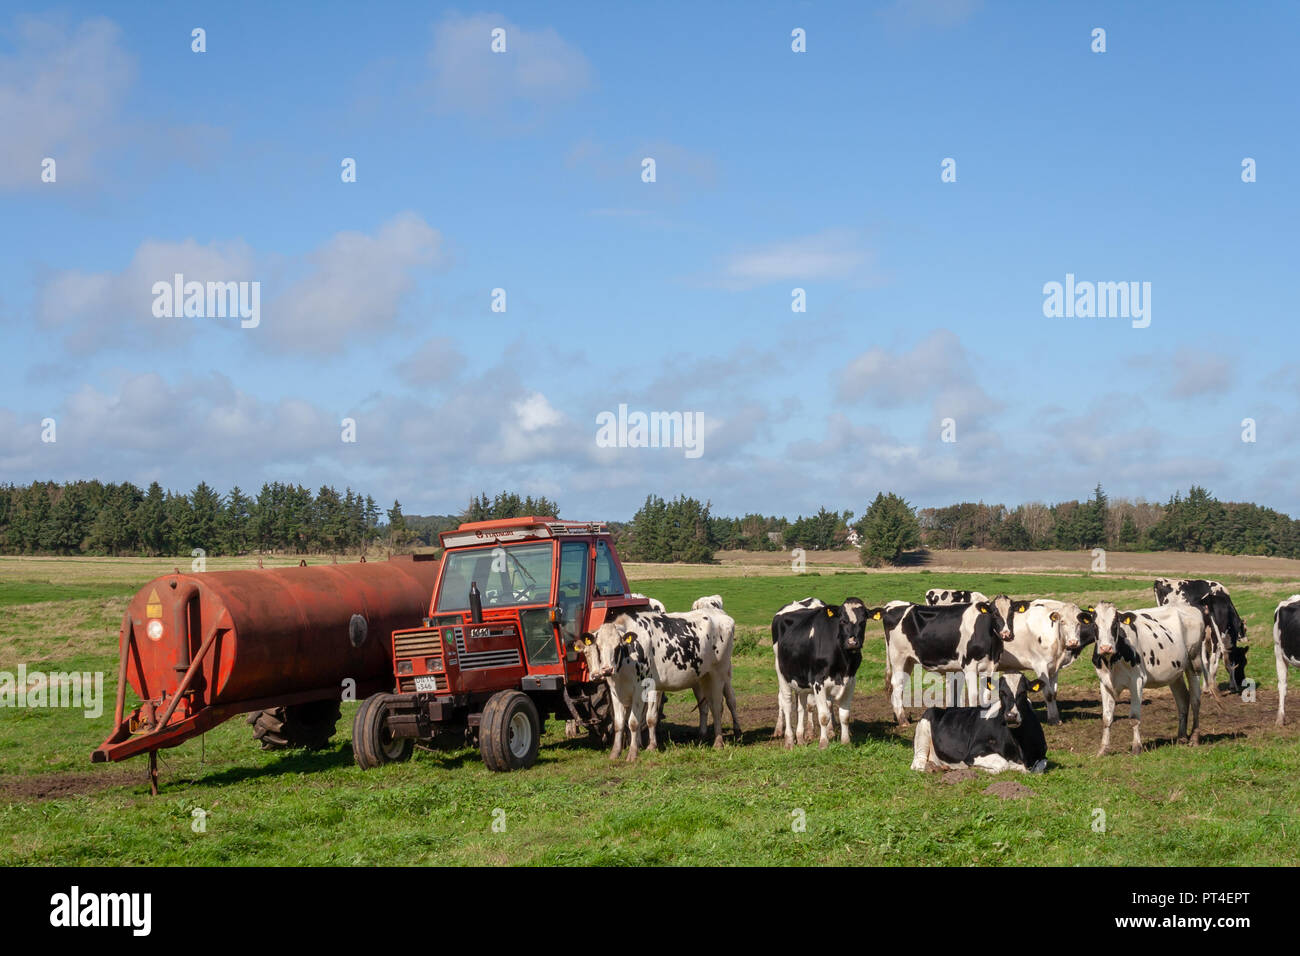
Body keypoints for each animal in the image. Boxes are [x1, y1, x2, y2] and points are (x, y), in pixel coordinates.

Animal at [577, 605, 739, 761]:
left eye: (618, 646)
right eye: (598, 647)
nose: (606, 670)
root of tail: (720, 614)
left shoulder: (640, 688)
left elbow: (634, 722)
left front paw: (633, 753)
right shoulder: (616, 691)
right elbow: (621, 723)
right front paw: (616, 753)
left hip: (719, 673)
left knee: (719, 706)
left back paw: (720, 741)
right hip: (703, 677)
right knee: (706, 705)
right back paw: (703, 736)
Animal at [770, 597, 874, 748]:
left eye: (863, 621)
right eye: (842, 620)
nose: (853, 643)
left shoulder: (850, 681)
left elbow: (845, 715)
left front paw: (845, 742)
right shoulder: (818, 682)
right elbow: (824, 716)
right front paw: (823, 743)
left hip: (801, 680)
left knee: (801, 707)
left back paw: (800, 738)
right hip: (782, 674)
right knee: (787, 704)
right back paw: (789, 740)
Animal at [879, 599, 1010, 726]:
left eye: (1011, 613)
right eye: (994, 613)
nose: (1006, 634)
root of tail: (891, 605)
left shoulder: (990, 667)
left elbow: (986, 695)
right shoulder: (969, 666)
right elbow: (973, 695)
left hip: (908, 660)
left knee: (900, 684)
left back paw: (897, 717)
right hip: (898, 657)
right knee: (897, 683)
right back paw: (903, 720)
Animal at [910, 673, 1048, 774]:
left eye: (1023, 692)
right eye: (1001, 692)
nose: (1011, 716)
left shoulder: (1042, 755)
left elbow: (1040, 767)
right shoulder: (974, 753)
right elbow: (1004, 765)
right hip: (924, 726)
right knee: (918, 763)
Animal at [1090, 601, 1207, 756]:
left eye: (1115, 624)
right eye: (1095, 625)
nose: (1105, 648)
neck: (1112, 662)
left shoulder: (1137, 681)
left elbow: (1134, 718)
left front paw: (1136, 748)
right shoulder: (1104, 684)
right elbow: (1106, 718)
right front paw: (1103, 750)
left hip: (1194, 662)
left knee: (1195, 700)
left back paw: (1194, 738)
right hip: (1174, 672)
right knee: (1183, 700)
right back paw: (1181, 738)